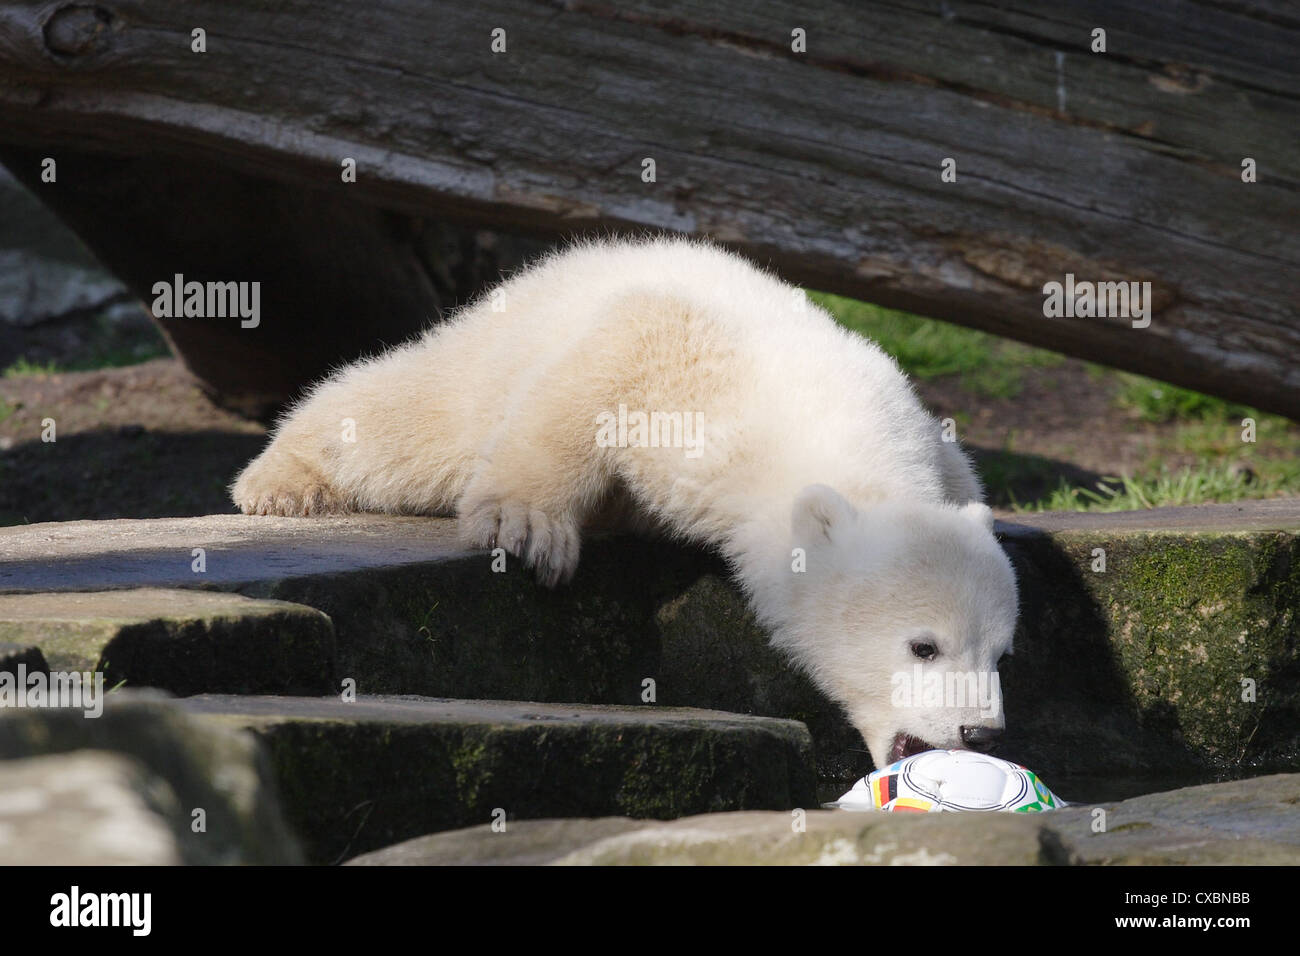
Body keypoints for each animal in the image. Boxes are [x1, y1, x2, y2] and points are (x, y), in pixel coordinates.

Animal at [232, 236, 1019, 768]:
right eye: (924, 645)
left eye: (1001, 652)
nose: (979, 732)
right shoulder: (695, 373)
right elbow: (609, 363)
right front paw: (526, 526)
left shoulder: (943, 454)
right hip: (496, 351)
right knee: (413, 417)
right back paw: (280, 481)